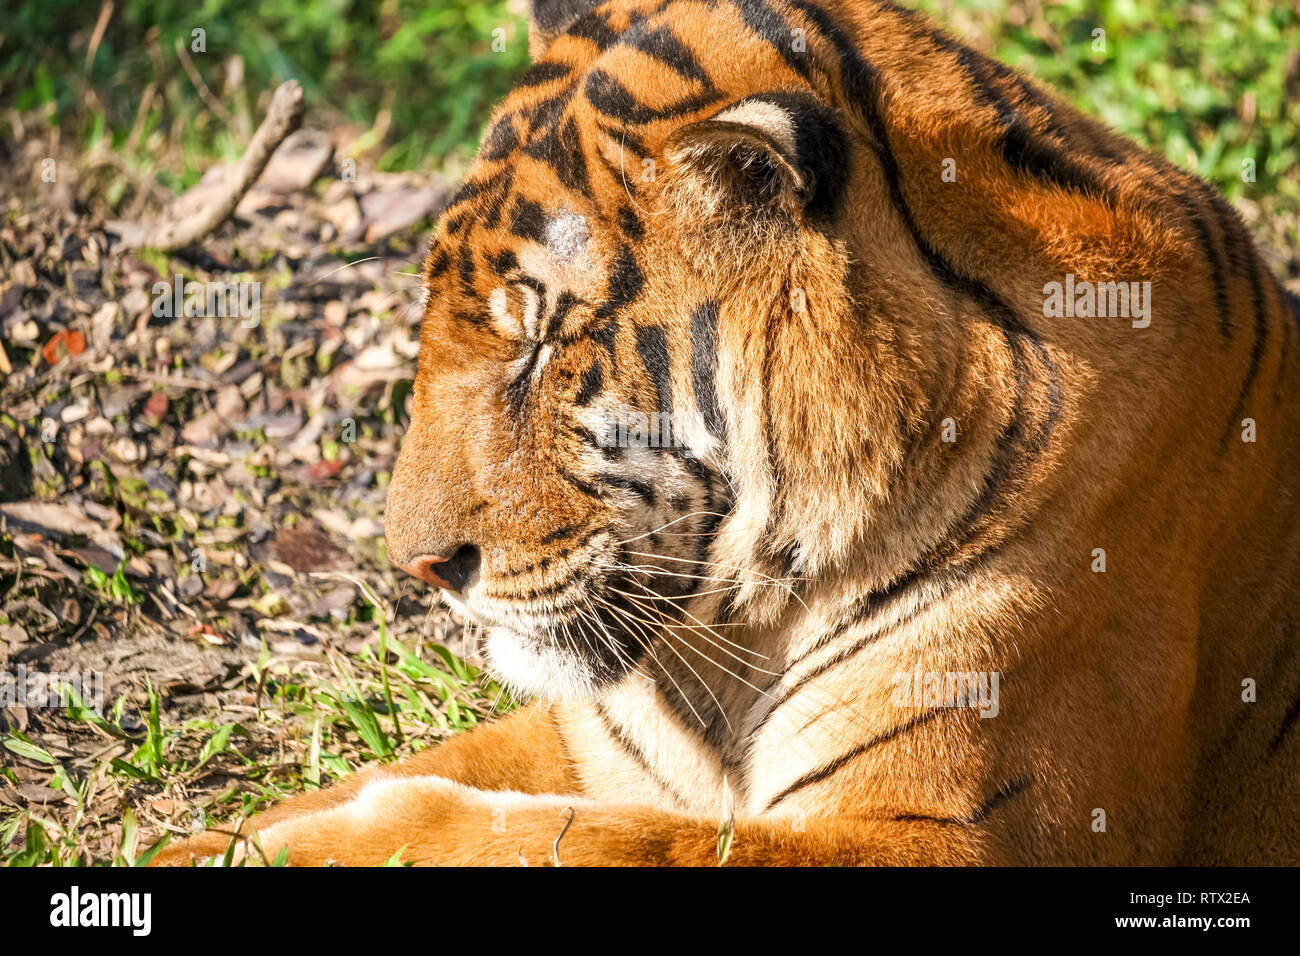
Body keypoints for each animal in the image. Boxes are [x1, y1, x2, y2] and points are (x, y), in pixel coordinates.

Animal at [155, 0, 1300, 866]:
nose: (422, 567)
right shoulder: (591, 734)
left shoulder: (950, 832)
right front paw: (195, 842)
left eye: (545, 343)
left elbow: (575, 840)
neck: (731, 638)